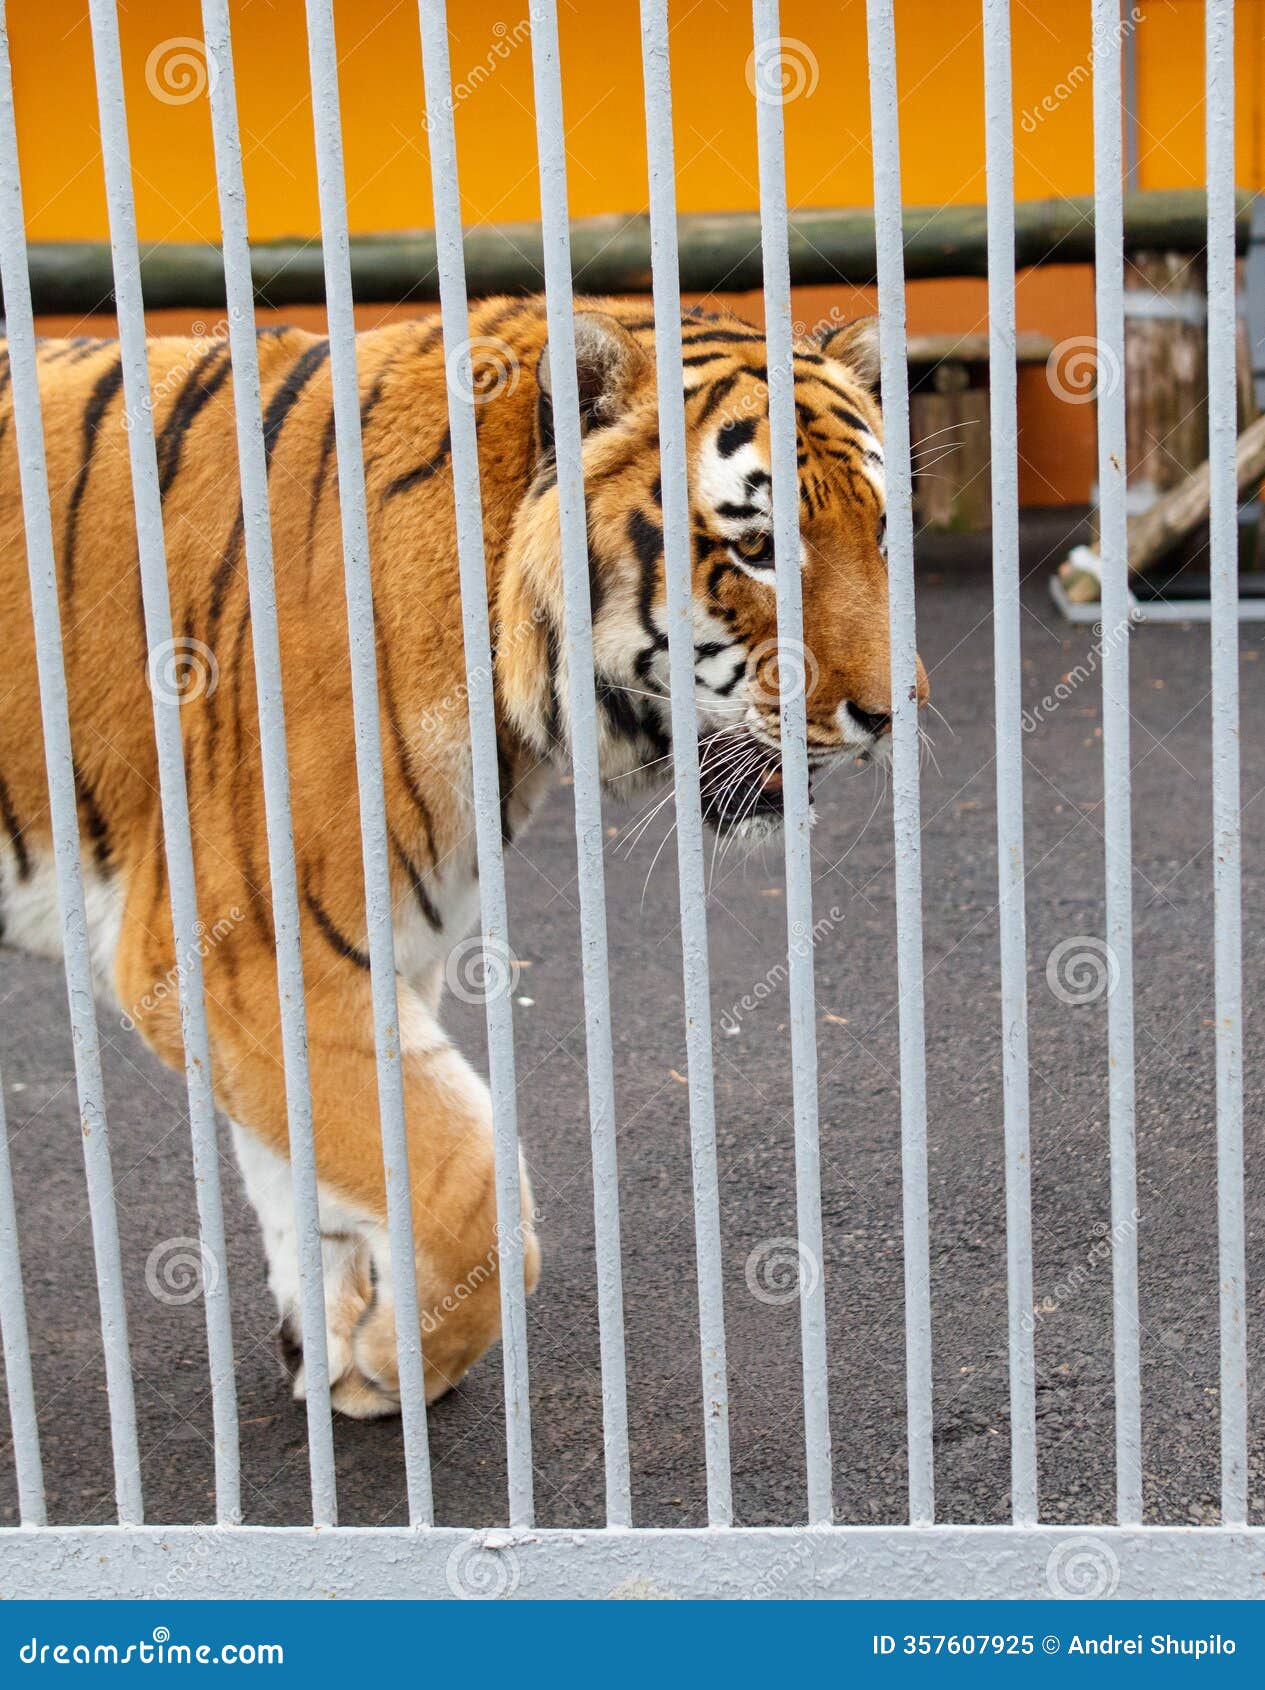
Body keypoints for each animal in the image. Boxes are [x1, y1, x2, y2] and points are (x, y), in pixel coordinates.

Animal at [0, 294, 928, 1418]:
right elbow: (462, 1183)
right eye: (755, 548)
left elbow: (309, 1183)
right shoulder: (242, 951)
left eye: (881, 530)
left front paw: (335, 1353)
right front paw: (396, 1362)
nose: (896, 708)